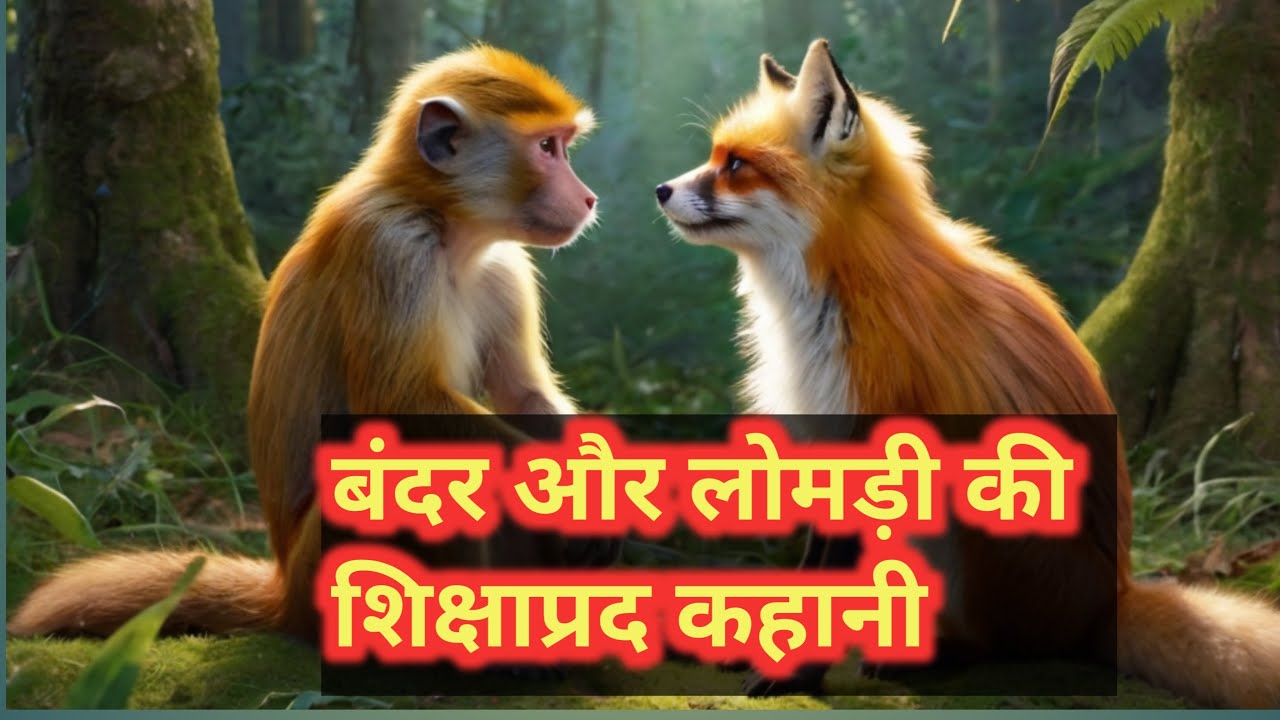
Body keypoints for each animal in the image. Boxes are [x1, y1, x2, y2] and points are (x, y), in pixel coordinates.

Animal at [656, 38, 1280, 709]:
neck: (838, 296)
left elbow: (830, 585)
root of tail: (1113, 598)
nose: (660, 189)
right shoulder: (823, 438)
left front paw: (790, 674)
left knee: (992, 644)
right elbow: (808, 576)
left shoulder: (870, 441)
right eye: (716, 156)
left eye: (737, 165)